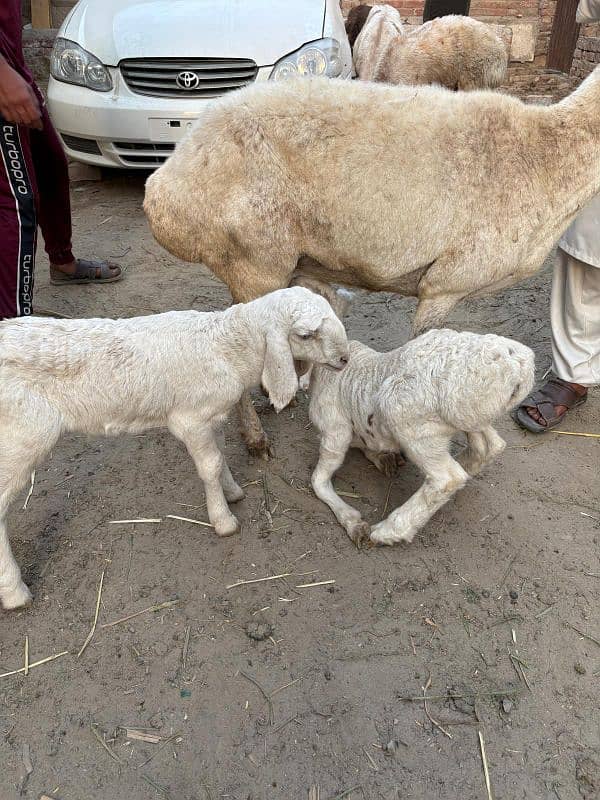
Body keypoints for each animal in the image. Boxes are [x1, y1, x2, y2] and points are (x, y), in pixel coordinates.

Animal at [0, 287, 349, 610]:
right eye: (305, 334)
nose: (344, 359)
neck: (227, 346)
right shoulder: (189, 420)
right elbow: (209, 466)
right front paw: (223, 520)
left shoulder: (211, 418)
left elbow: (220, 458)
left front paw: (232, 491)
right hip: (22, 436)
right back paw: (15, 592)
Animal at [144, 69, 600, 455]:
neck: (547, 156)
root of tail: (165, 188)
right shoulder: (445, 284)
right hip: (251, 260)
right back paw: (256, 441)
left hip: (292, 262)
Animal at [308, 324, 535, 546]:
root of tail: (520, 363)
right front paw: (385, 460)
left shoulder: (334, 429)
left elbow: (319, 480)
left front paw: (353, 523)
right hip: (471, 414)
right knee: (490, 445)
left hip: (408, 419)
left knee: (447, 479)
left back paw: (388, 531)